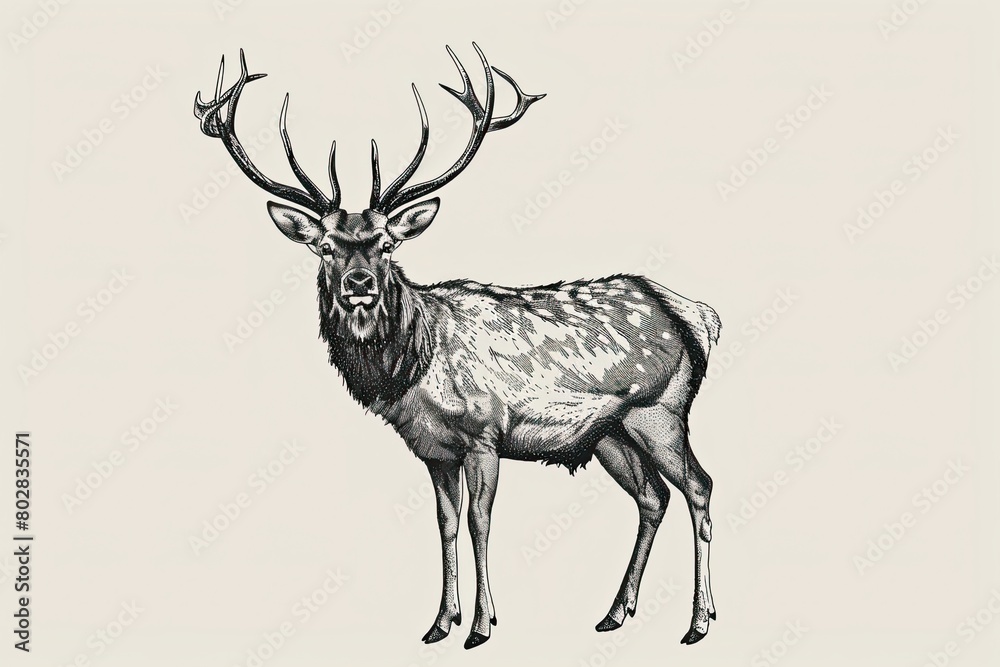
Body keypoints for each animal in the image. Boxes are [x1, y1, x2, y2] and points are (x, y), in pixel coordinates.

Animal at [194, 44, 721, 649]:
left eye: (386, 243)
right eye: (325, 246)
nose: (358, 284)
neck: (412, 369)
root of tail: (697, 315)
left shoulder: (484, 433)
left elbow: (479, 521)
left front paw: (481, 625)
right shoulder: (432, 447)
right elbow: (445, 524)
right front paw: (439, 623)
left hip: (661, 410)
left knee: (699, 487)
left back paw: (699, 621)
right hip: (612, 432)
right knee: (652, 497)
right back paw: (616, 612)